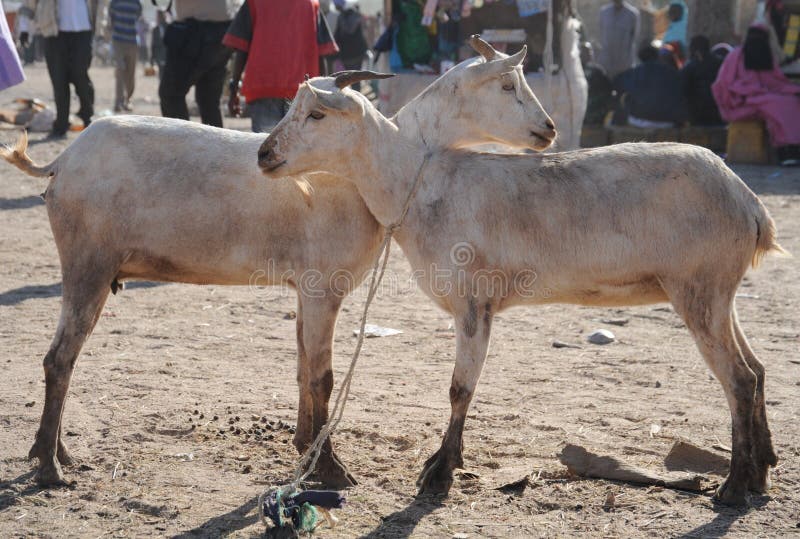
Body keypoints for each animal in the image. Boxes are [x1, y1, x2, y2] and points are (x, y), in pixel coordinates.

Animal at [0, 39, 555, 488]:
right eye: (508, 84)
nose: (548, 129)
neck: (368, 170)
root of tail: (63, 161)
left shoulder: (306, 288)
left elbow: (303, 366)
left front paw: (304, 448)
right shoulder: (323, 286)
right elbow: (322, 376)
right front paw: (330, 467)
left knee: (64, 357)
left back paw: (58, 453)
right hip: (86, 262)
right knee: (59, 357)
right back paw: (48, 467)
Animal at [258, 66, 786, 506]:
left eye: (317, 113)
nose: (264, 154)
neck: (418, 182)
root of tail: (749, 202)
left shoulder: (474, 299)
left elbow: (460, 388)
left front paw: (439, 474)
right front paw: (442, 464)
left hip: (699, 287)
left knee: (739, 379)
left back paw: (734, 486)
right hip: (718, 292)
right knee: (758, 370)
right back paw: (760, 473)